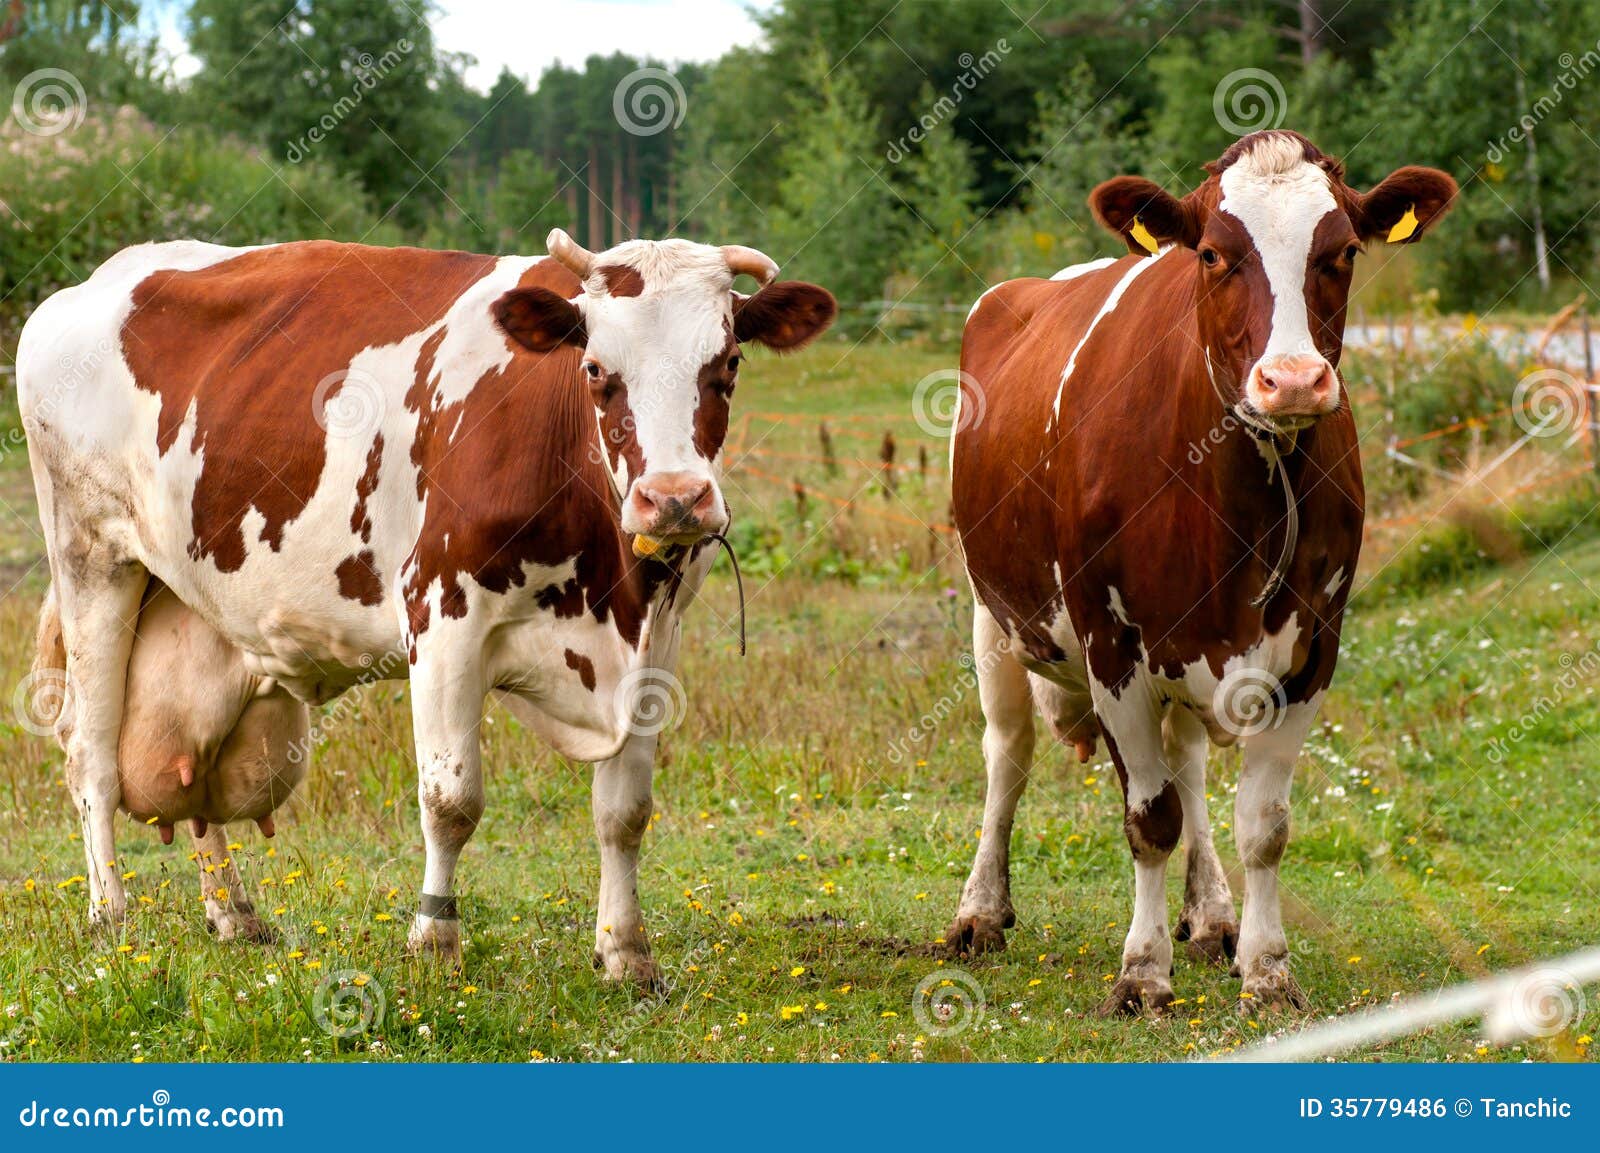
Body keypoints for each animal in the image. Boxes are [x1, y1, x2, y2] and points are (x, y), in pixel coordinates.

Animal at [17, 229, 836, 983]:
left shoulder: (657, 640)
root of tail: (93, 281)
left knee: (191, 760)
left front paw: (626, 953)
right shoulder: (442, 617)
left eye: (728, 365)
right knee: (91, 752)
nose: (673, 499)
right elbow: (451, 799)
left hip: (190, 598)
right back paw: (111, 917)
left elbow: (624, 811)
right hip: (91, 557)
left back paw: (233, 913)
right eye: (598, 370)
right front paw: (434, 937)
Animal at [943, 130, 1455, 1013]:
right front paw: (1142, 972)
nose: (1293, 380)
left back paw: (1212, 915)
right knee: (1007, 755)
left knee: (1186, 762)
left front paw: (1267, 966)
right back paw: (981, 909)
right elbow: (1149, 819)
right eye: (1214, 254)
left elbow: (1262, 822)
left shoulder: (1315, 647)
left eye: (1343, 252)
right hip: (994, 615)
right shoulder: (1109, 644)